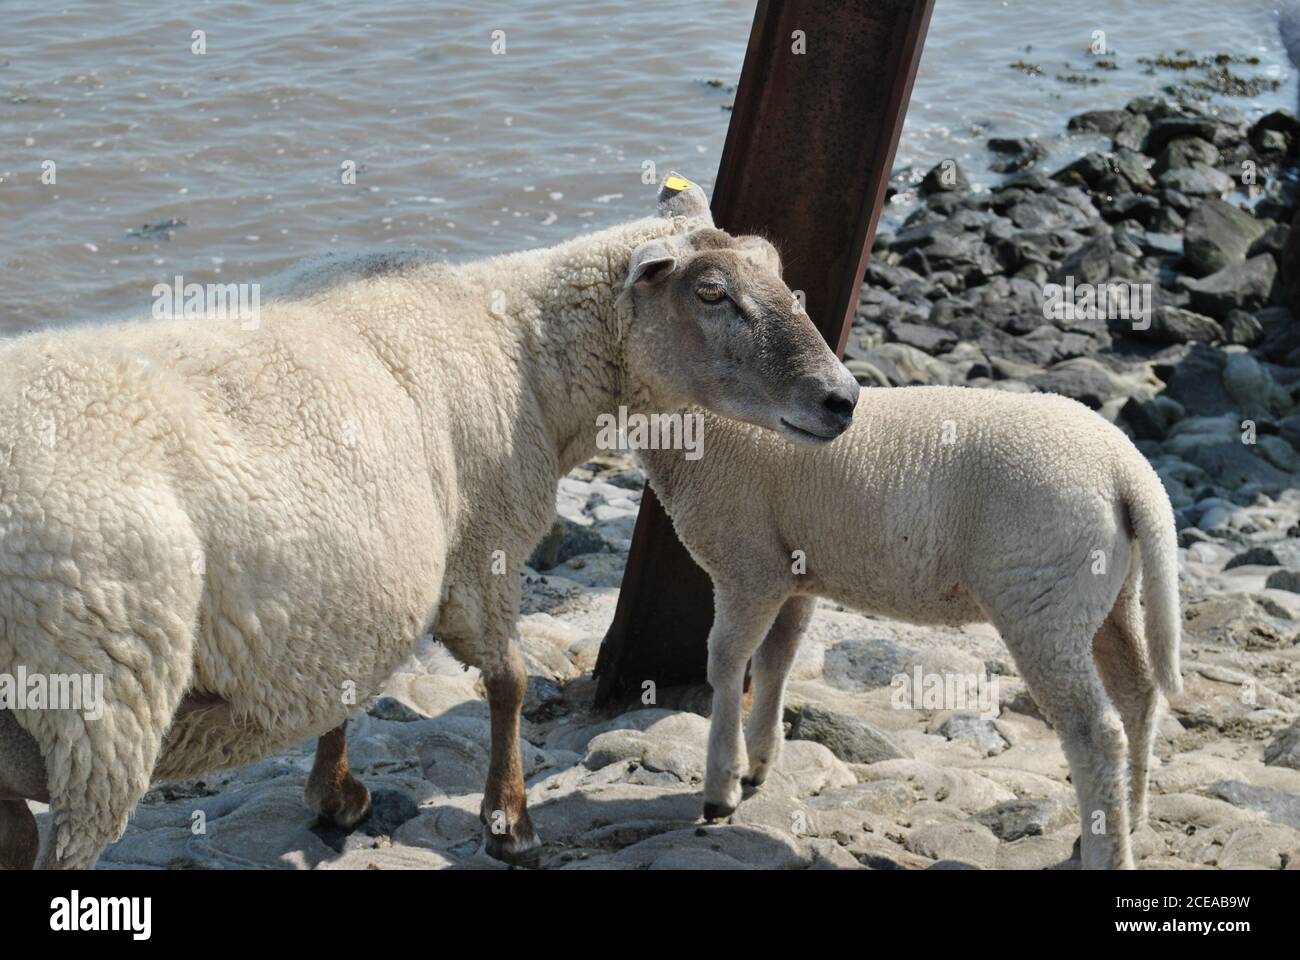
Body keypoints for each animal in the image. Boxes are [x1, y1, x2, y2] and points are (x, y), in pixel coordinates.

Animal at [0, 174, 859, 869]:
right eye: (711, 293)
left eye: (780, 275)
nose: (842, 398)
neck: (525, 351)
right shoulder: (483, 544)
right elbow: (510, 680)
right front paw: (509, 821)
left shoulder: (362, 580)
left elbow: (349, 684)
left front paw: (335, 794)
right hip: (99, 704)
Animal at [636, 386, 1182, 870]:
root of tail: (1130, 474)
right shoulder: (795, 571)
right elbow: (776, 662)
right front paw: (759, 763)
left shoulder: (749, 567)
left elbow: (727, 664)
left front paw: (720, 790)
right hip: (1109, 593)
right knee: (1137, 692)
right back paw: (1128, 820)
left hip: (1041, 594)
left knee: (1096, 731)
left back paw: (1107, 855)